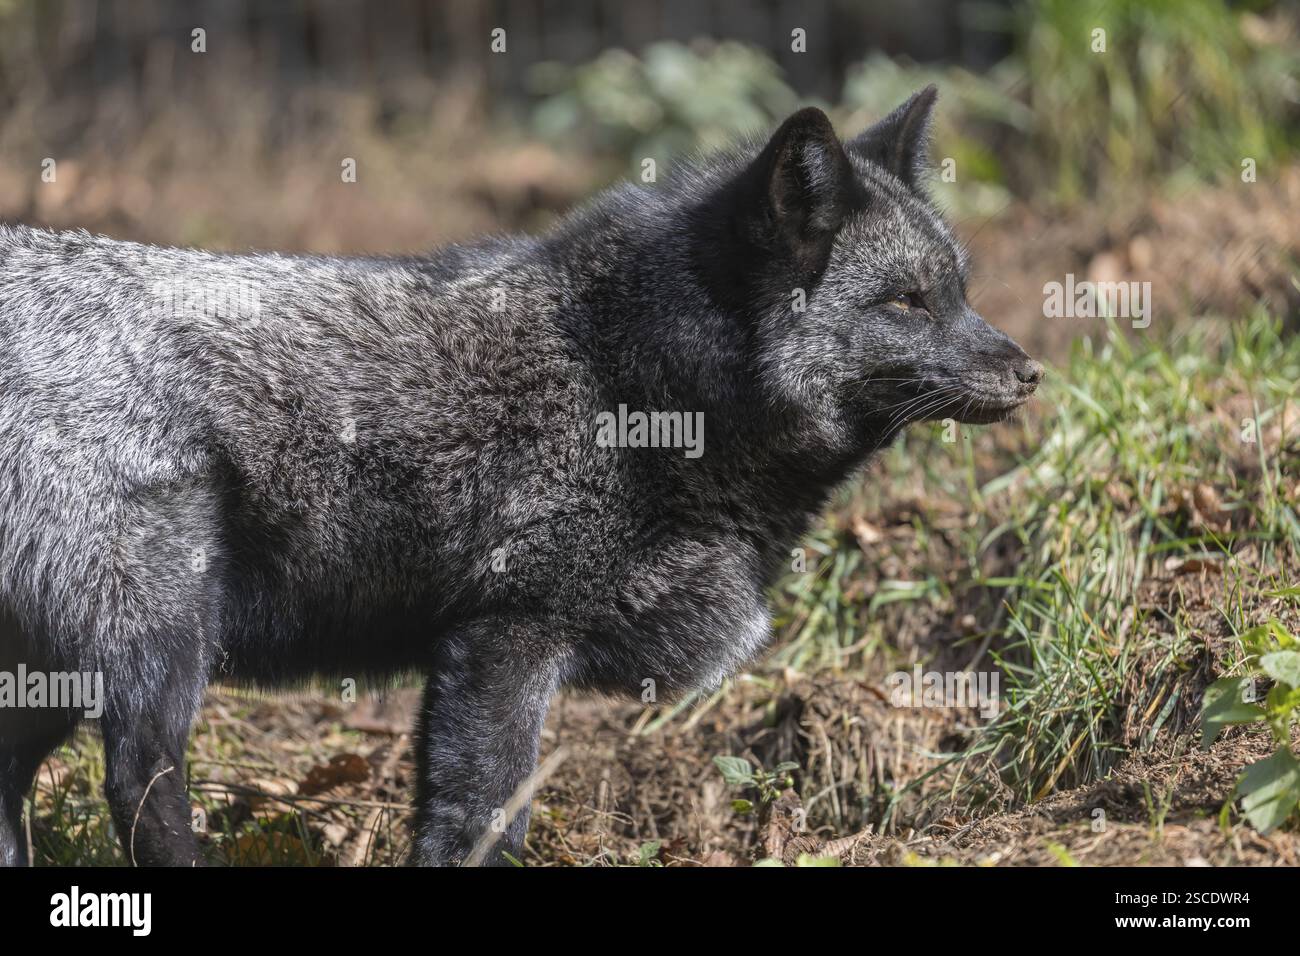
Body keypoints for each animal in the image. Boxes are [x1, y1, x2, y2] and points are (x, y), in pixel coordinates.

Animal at [0, 87, 1041, 867]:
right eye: (906, 302)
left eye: (959, 292)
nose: (1031, 371)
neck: (635, 380)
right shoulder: (506, 640)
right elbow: (480, 825)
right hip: (157, 643)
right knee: (141, 794)